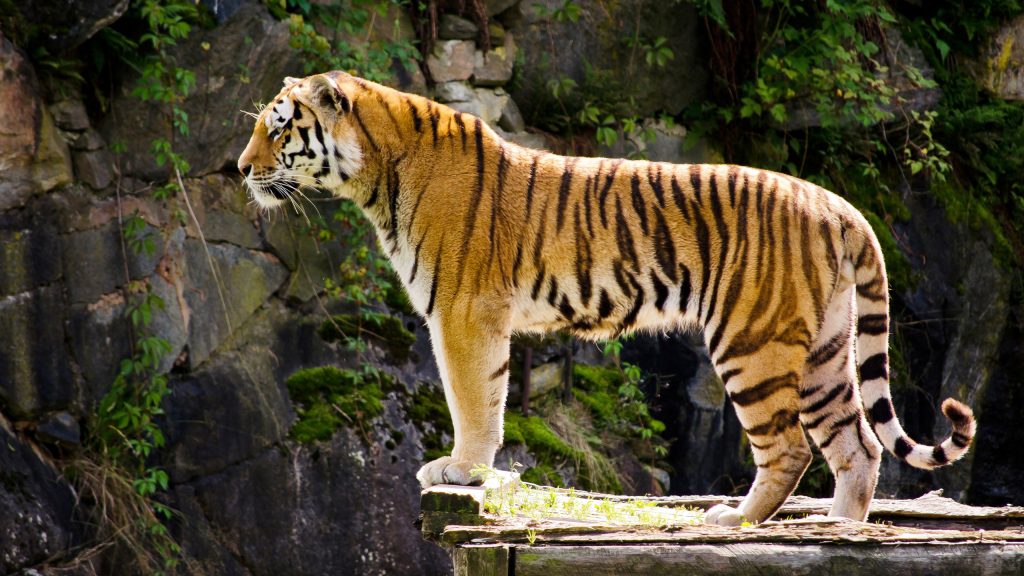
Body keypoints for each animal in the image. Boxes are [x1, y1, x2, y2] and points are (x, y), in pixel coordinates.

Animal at [237, 71, 976, 525]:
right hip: (824, 348)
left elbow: (473, 398)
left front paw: (461, 470)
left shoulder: (463, 311)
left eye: (278, 128)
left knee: (792, 448)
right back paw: (841, 528)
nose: (241, 169)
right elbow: (489, 395)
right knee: (859, 446)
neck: (375, 174)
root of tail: (837, 205)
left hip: (752, 342)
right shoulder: (473, 314)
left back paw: (736, 519)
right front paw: (470, 468)